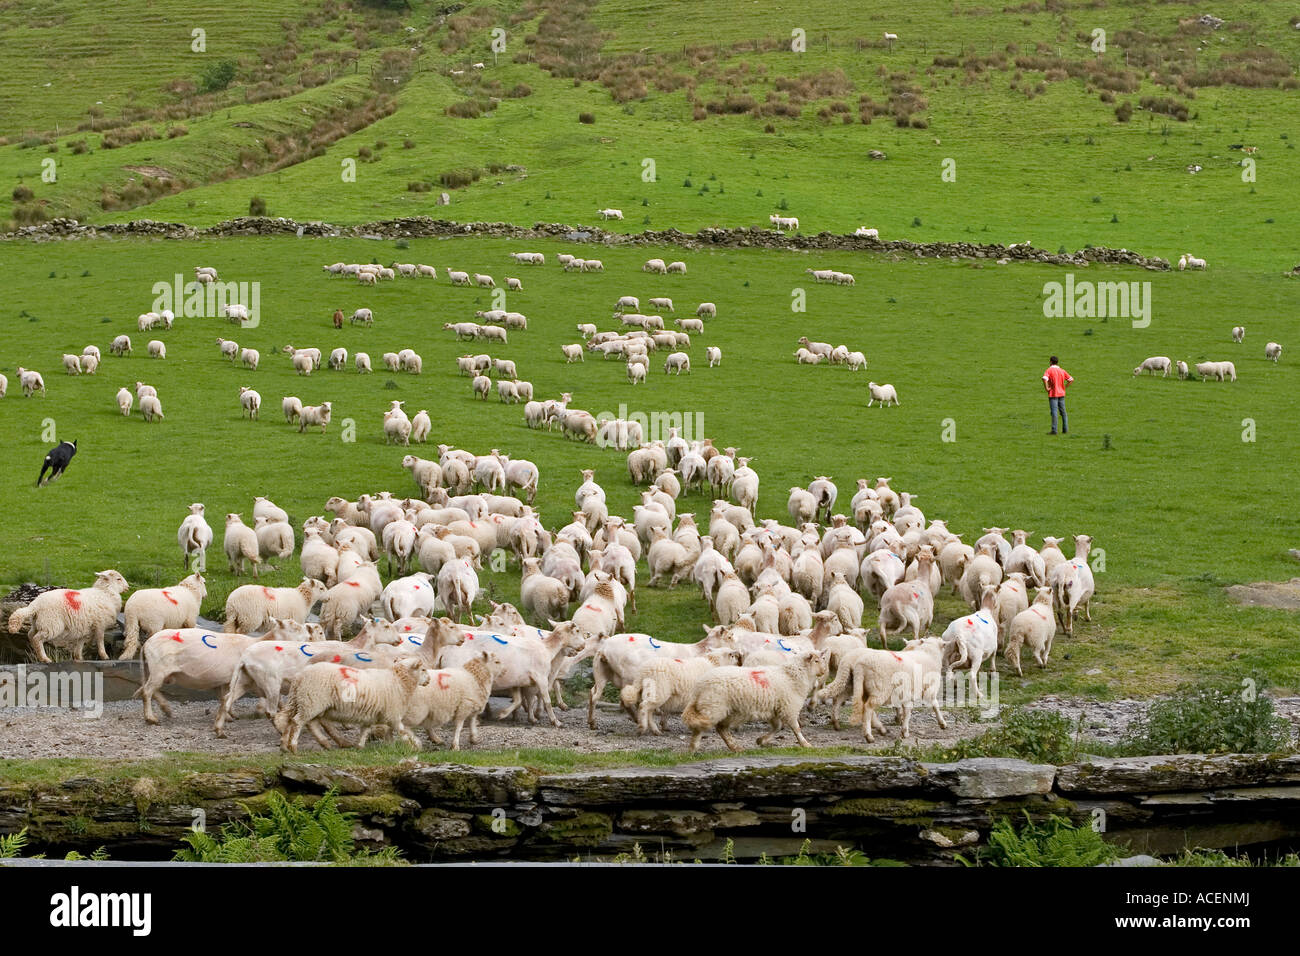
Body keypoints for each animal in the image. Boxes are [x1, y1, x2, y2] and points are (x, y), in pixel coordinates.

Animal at [682, 650, 826, 752]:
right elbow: (796, 728)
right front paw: (805, 744)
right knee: (702, 728)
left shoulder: (775, 709)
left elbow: (777, 727)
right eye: (816, 661)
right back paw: (693, 747)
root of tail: (699, 686)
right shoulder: (789, 708)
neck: (791, 676)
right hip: (714, 708)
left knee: (721, 729)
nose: (824, 671)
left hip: (728, 711)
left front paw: (761, 740)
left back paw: (735, 748)